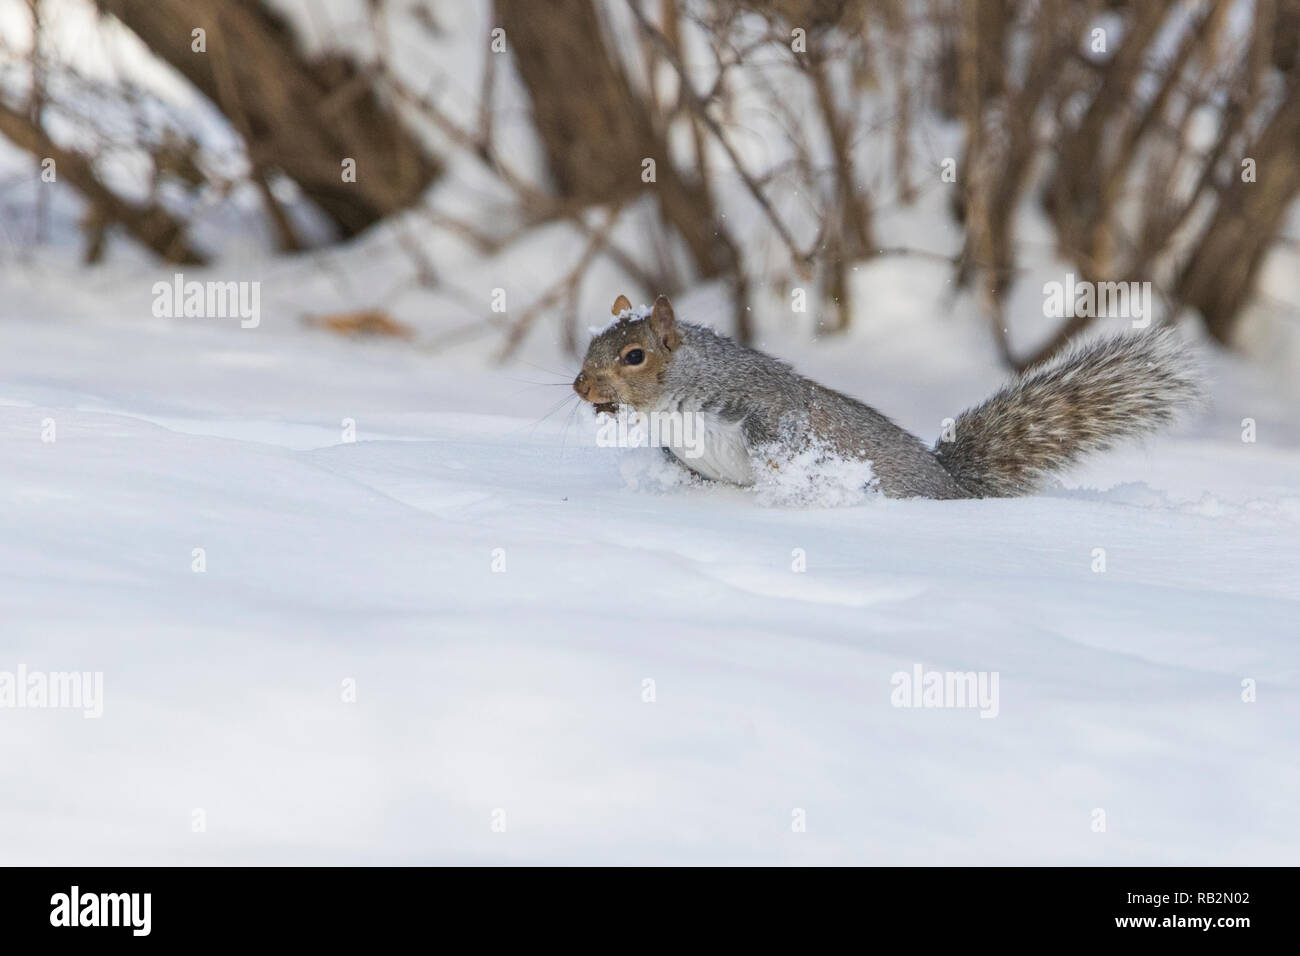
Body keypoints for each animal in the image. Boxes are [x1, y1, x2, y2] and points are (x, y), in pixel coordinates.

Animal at [573, 294, 1203, 499]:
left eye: (635, 356)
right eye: (591, 343)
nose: (581, 386)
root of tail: (953, 489)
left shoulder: (764, 407)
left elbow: (782, 443)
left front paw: (785, 483)